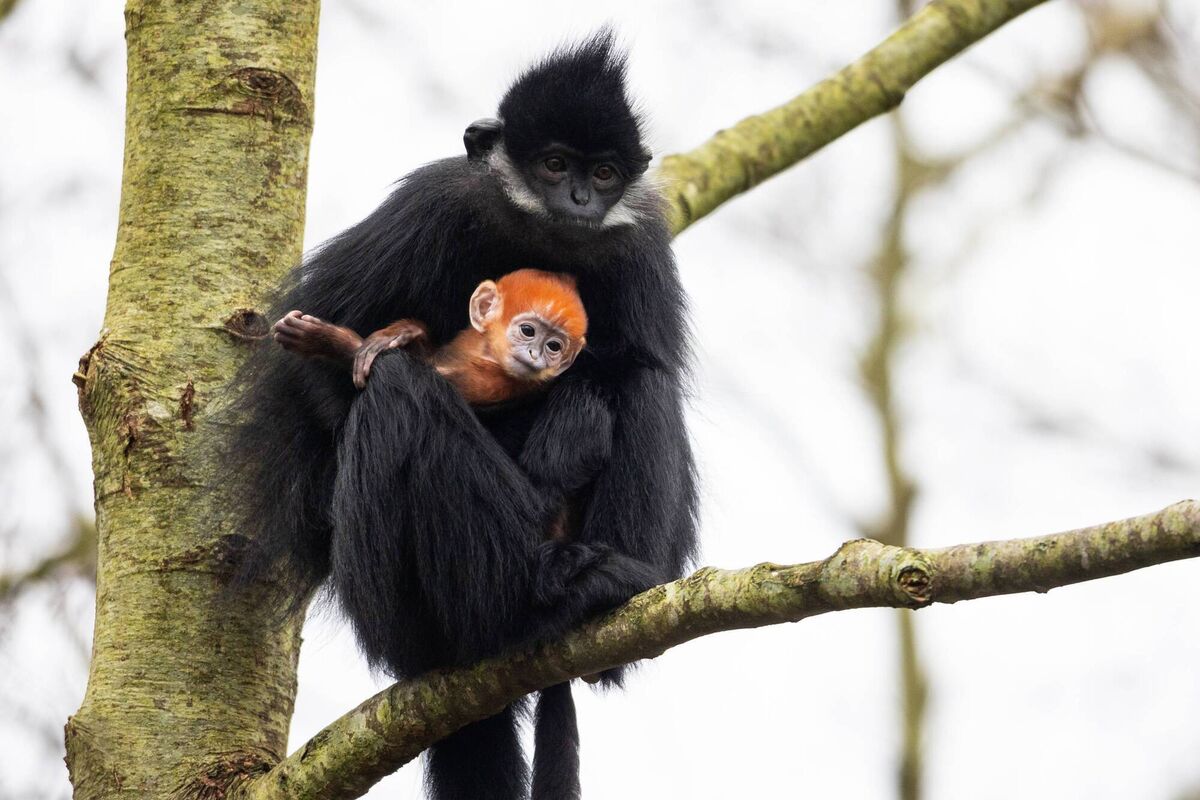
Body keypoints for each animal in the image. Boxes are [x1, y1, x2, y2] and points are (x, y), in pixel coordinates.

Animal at [271, 269, 588, 406]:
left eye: (554, 347)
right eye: (528, 331)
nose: (536, 355)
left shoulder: (500, 381)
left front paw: (331, 341)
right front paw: (403, 332)